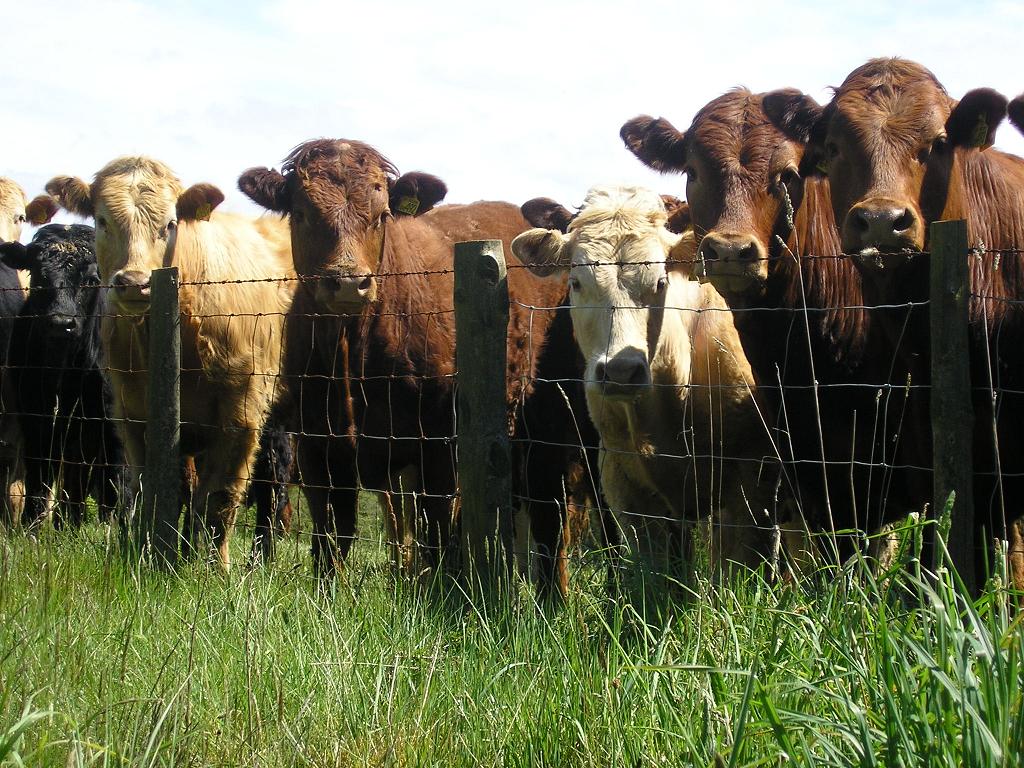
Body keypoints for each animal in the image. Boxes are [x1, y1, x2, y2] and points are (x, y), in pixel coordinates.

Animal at [0, 224, 126, 527]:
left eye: (92, 279)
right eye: (38, 276)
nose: (60, 323)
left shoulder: (112, 421)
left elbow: (116, 479)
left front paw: (118, 526)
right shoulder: (36, 415)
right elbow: (40, 475)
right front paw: (32, 525)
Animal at [45, 157, 295, 567]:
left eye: (170, 224)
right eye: (101, 220)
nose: (134, 281)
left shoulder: (241, 415)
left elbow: (219, 499)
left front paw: (214, 569)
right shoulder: (133, 414)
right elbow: (157, 490)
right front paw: (151, 553)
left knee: (273, 483)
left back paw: (263, 557)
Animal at [239, 139, 585, 597]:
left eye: (382, 214)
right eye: (301, 212)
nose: (348, 282)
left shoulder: (437, 448)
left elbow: (435, 535)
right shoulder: (317, 447)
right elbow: (331, 539)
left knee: (550, 520)